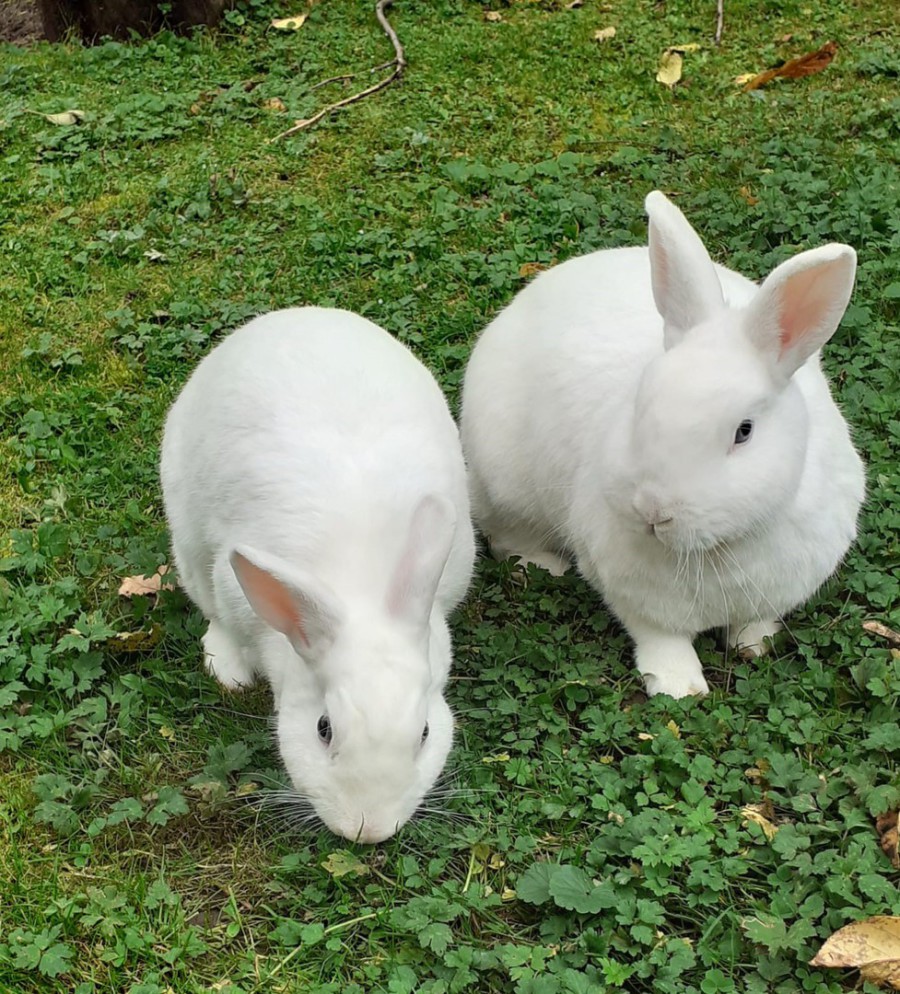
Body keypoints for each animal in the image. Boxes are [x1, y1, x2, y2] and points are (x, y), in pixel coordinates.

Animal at [160, 307, 475, 843]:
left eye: (425, 734)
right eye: (323, 729)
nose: (366, 830)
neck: (358, 584)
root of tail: (295, 314)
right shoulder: (229, 584)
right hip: (188, 539)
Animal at [460, 191, 865, 699]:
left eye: (744, 431)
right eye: (639, 405)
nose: (653, 510)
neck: (715, 550)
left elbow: (757, 621)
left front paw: (754, 647)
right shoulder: (632, 595)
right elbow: (659, 638)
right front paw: (679, 687)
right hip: (504, 486)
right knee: (507, 536)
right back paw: (543, 565)